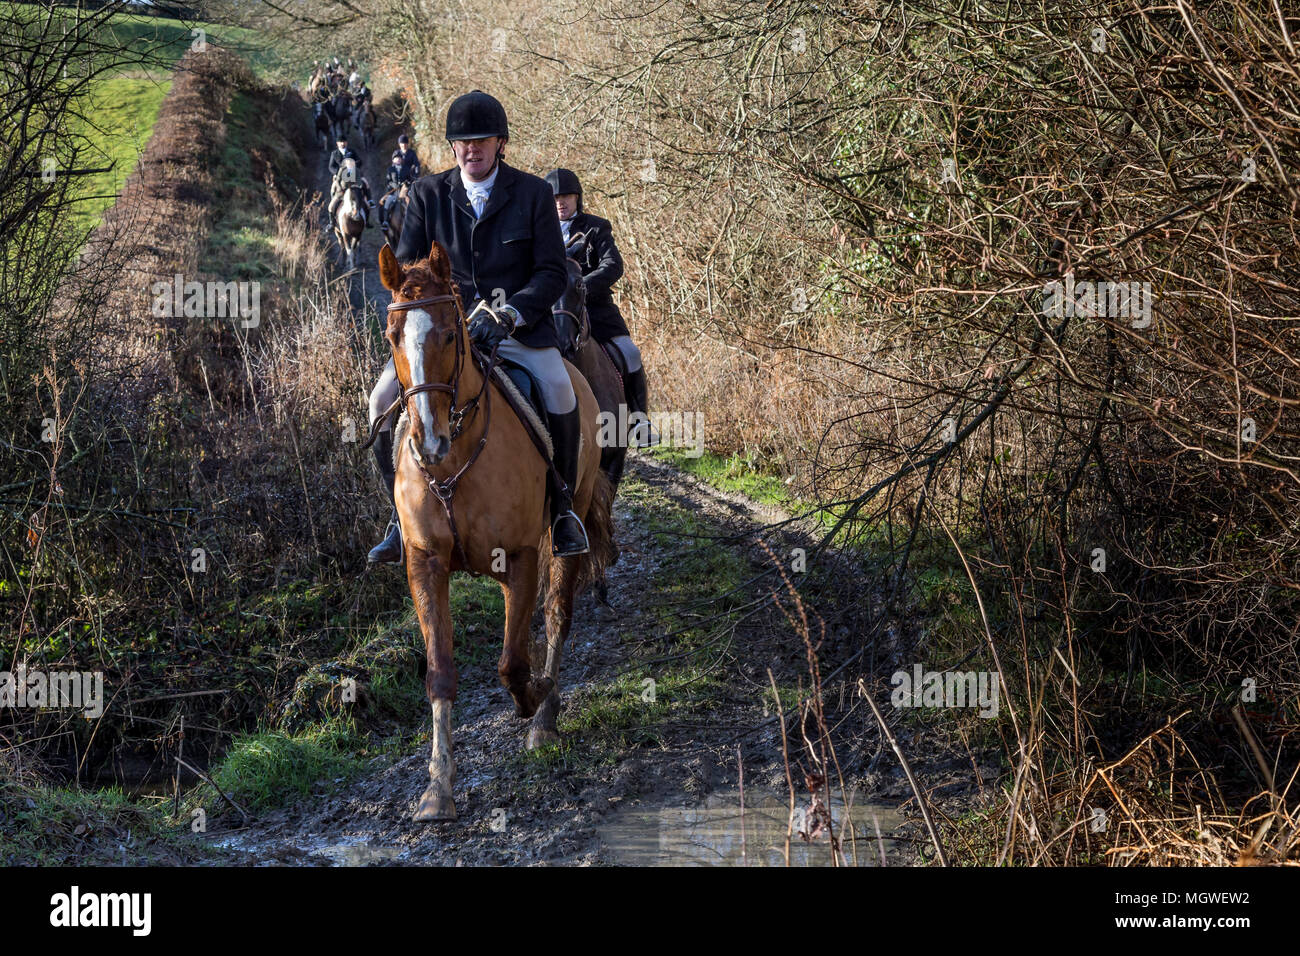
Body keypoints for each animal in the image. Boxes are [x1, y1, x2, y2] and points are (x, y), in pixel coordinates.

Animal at [373, 241, 616, 821]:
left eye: (451, 333)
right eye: (393, 337)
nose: (429, 441)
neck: (454, 461)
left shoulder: (523, 556)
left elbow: (511, 664)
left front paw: (537, 696)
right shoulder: (425, 563)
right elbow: (441, 671)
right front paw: (438, 788)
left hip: (568, 524)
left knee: (556, 616)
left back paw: (545, 720)